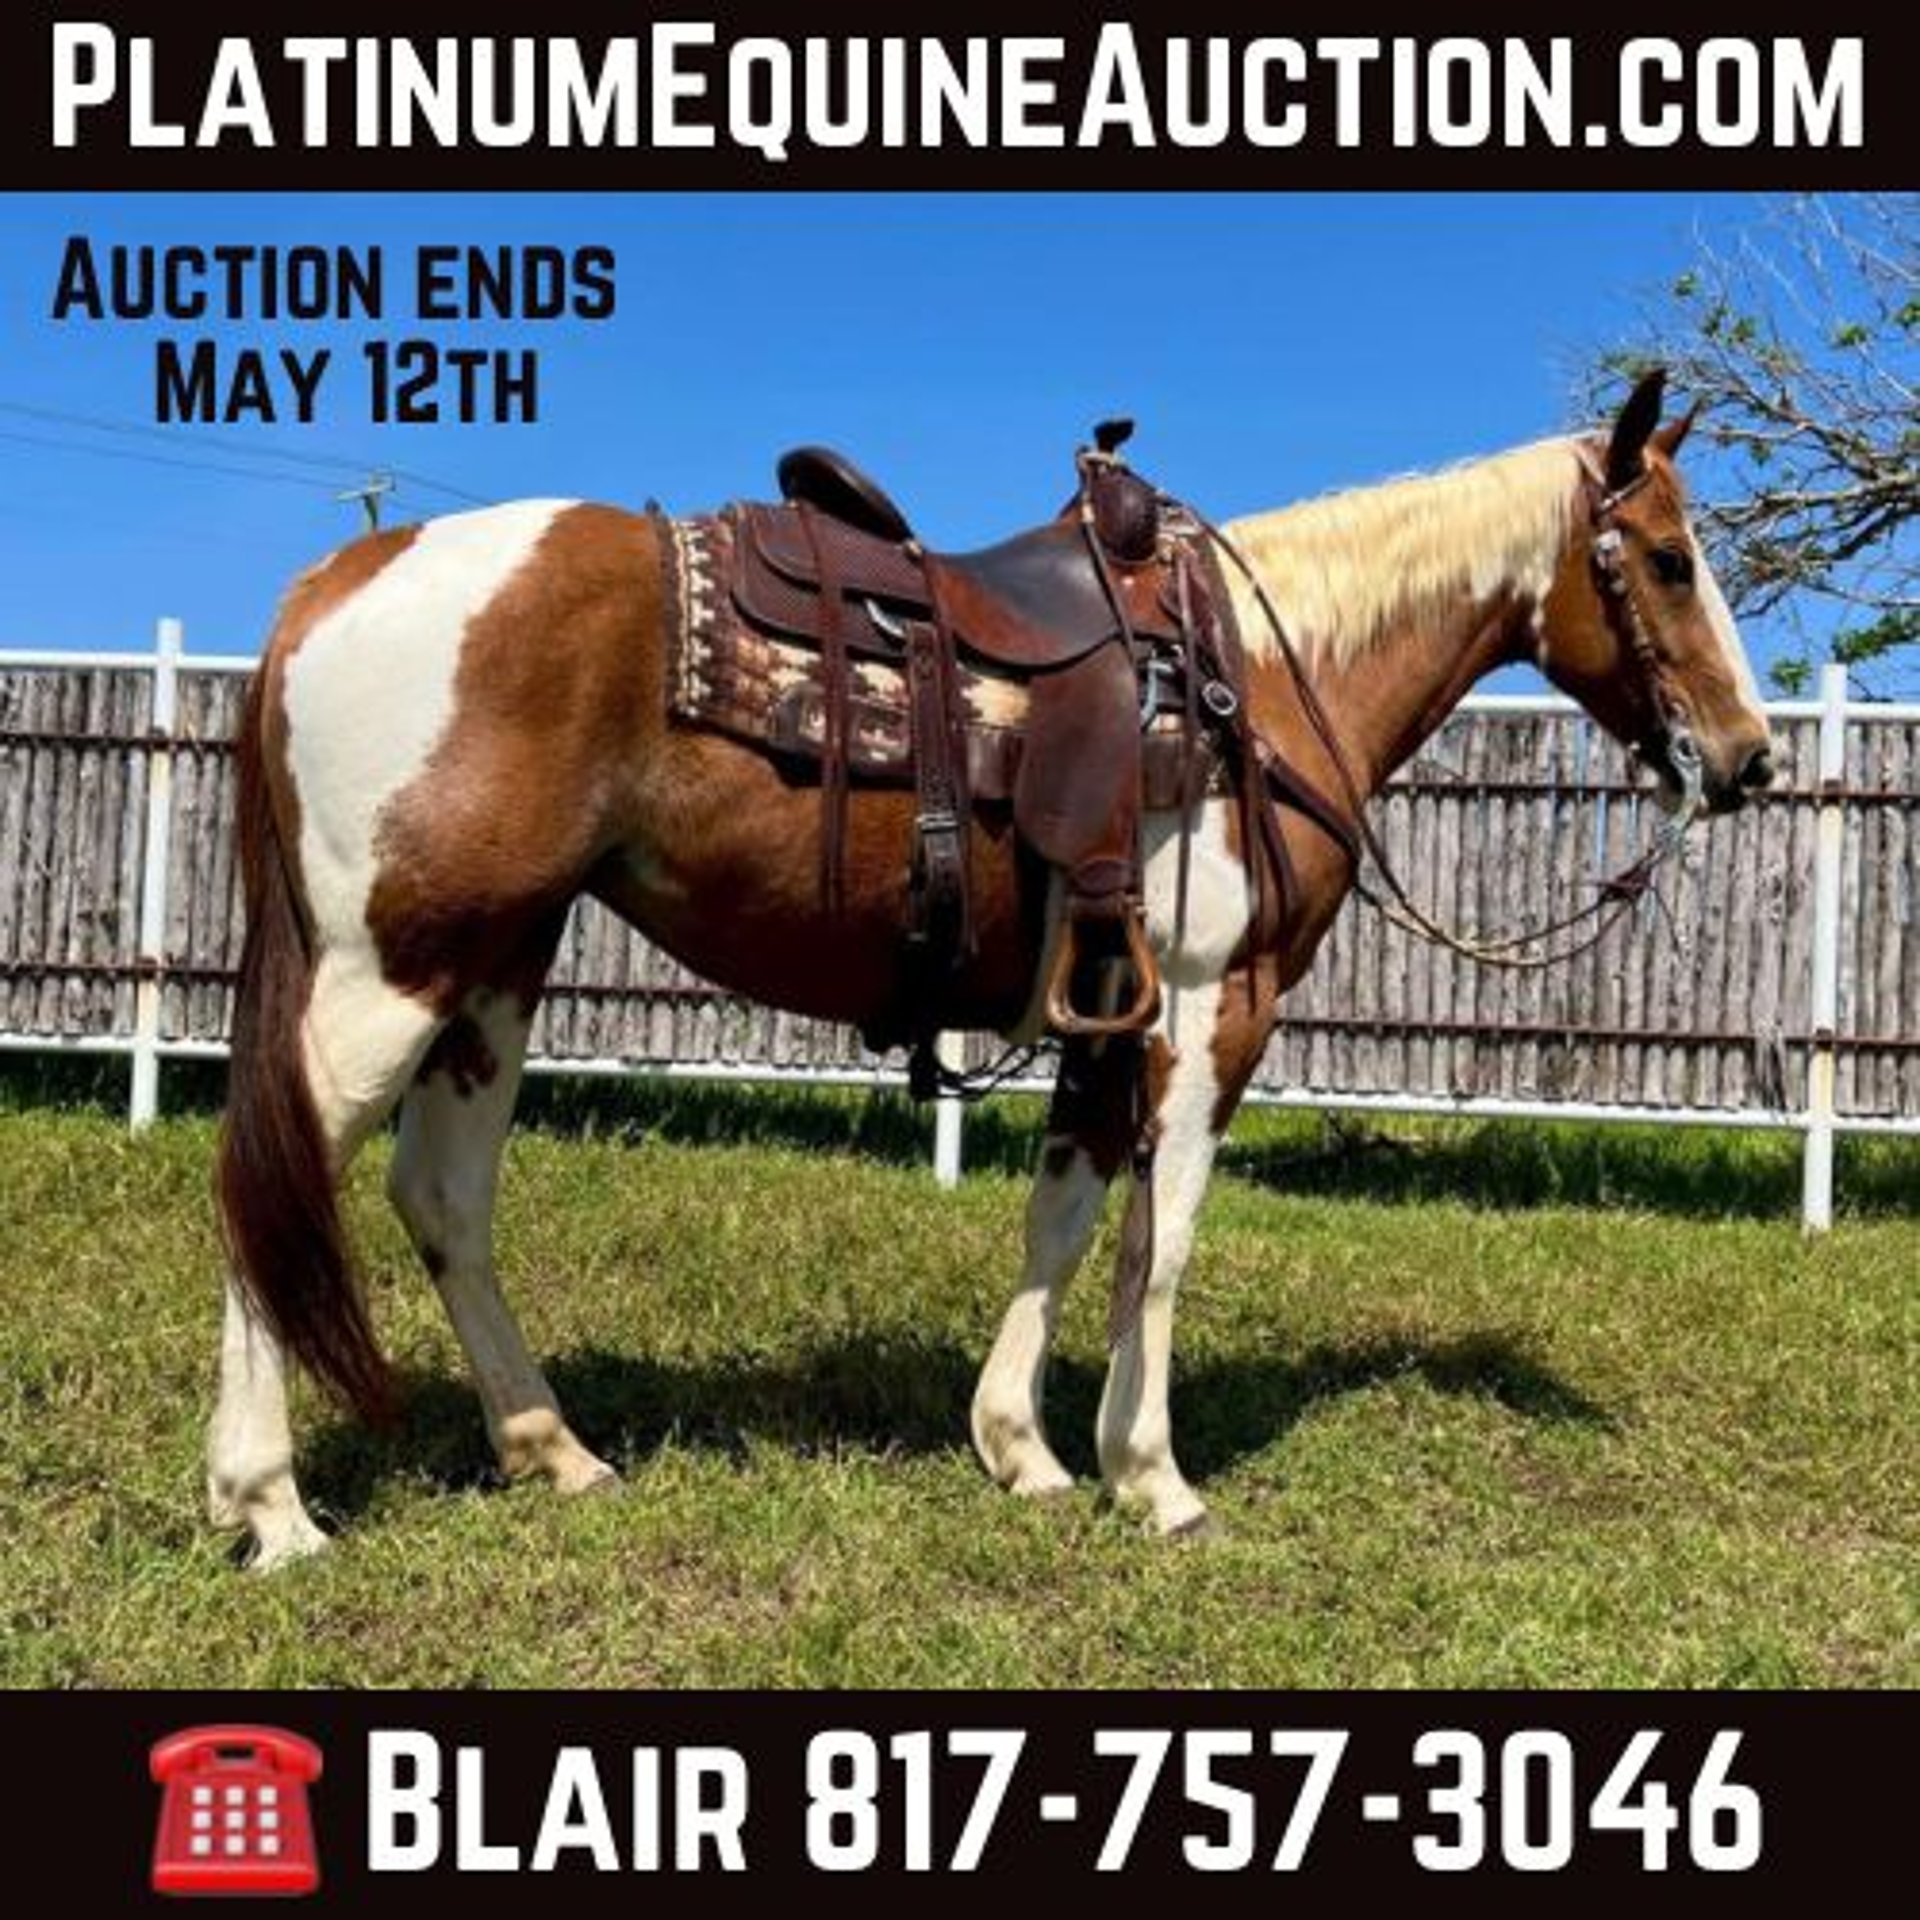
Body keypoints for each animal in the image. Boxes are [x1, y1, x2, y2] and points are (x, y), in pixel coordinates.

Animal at [209, 369, 1772, 1567]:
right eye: (1673, 559)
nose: (1751, 760)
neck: (1260, 683)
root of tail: (336, 581)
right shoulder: (1209, 1007)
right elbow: (1161, 1242)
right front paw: (1155, 1479)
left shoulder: (1103, 1017)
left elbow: (1064, 1226)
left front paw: (1022, 1449)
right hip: (388, 972)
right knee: (271, 1182)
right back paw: (271, 1507)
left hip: (491, 965)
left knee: (440, 1194)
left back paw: (552, 1449)